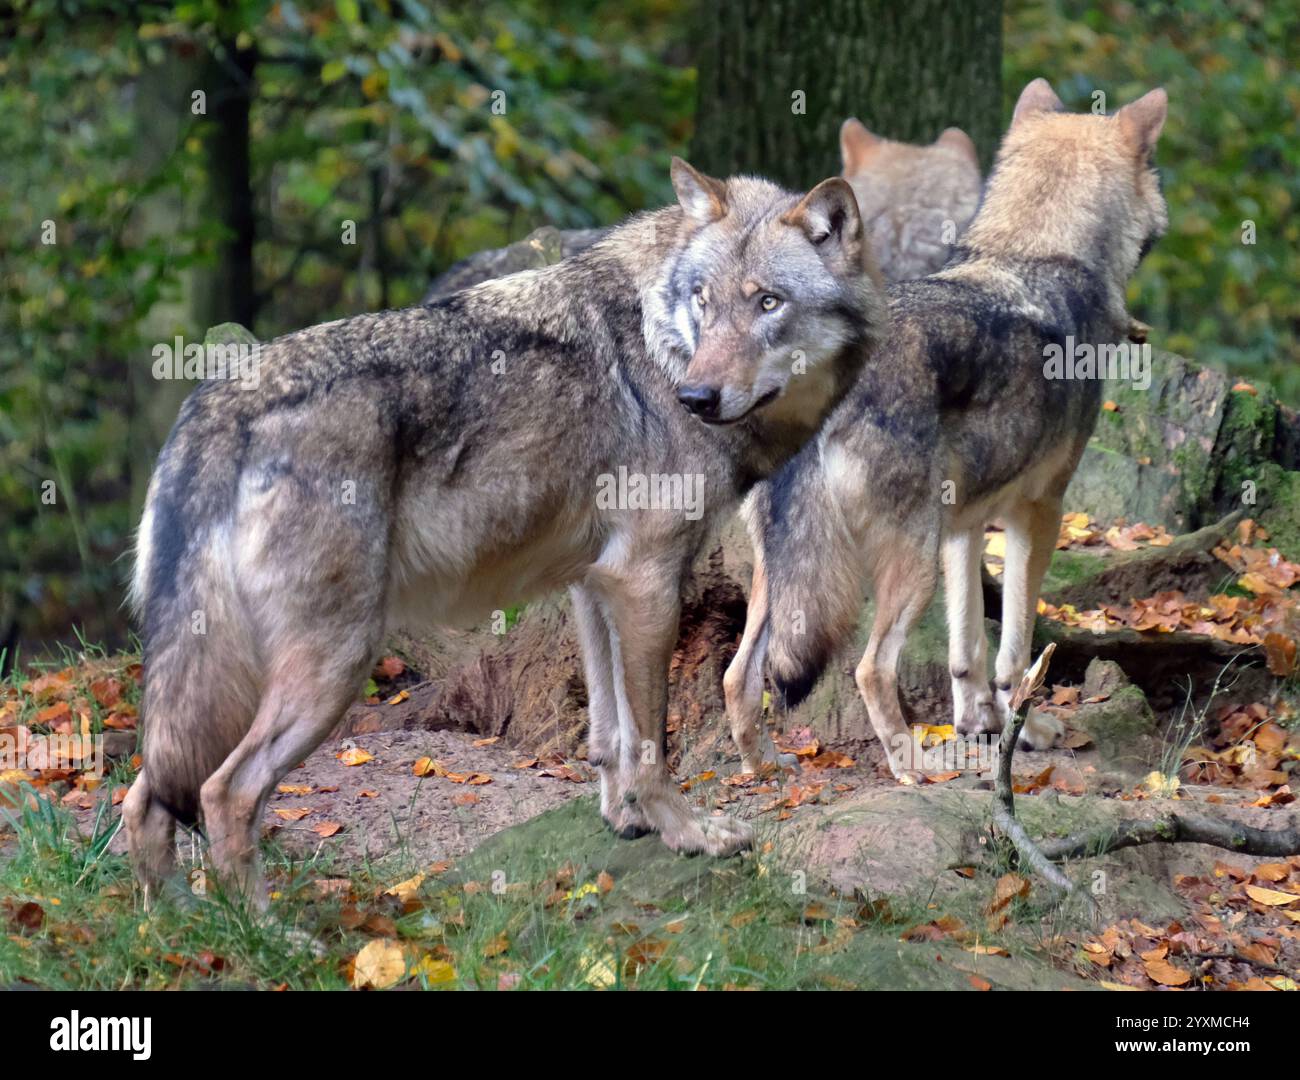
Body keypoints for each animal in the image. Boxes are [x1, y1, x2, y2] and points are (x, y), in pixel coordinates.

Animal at [122, 158, 887, 902]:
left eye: (768, 303)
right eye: (703, 299)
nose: (695, 397)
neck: (662, 341)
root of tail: (216, 405)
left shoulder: (595, 583)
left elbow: (608, 730)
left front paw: (625, 820)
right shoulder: (644, 580)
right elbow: (648, 741)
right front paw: (688, 833)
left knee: (144, 799)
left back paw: (175, 922)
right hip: (333, 665)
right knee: (225, 793)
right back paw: (271, 929)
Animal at [723, 80, 1168, 777]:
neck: (1035, 256)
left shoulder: (964, 525)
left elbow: (968, 649)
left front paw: (977, 722)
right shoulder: (1039, 512)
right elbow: (1015, 648)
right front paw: (1024, 729)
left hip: (795, 568)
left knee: (738, 676)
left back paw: (767, 767)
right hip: (909, 563)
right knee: (869, 668)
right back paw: (913, 766)